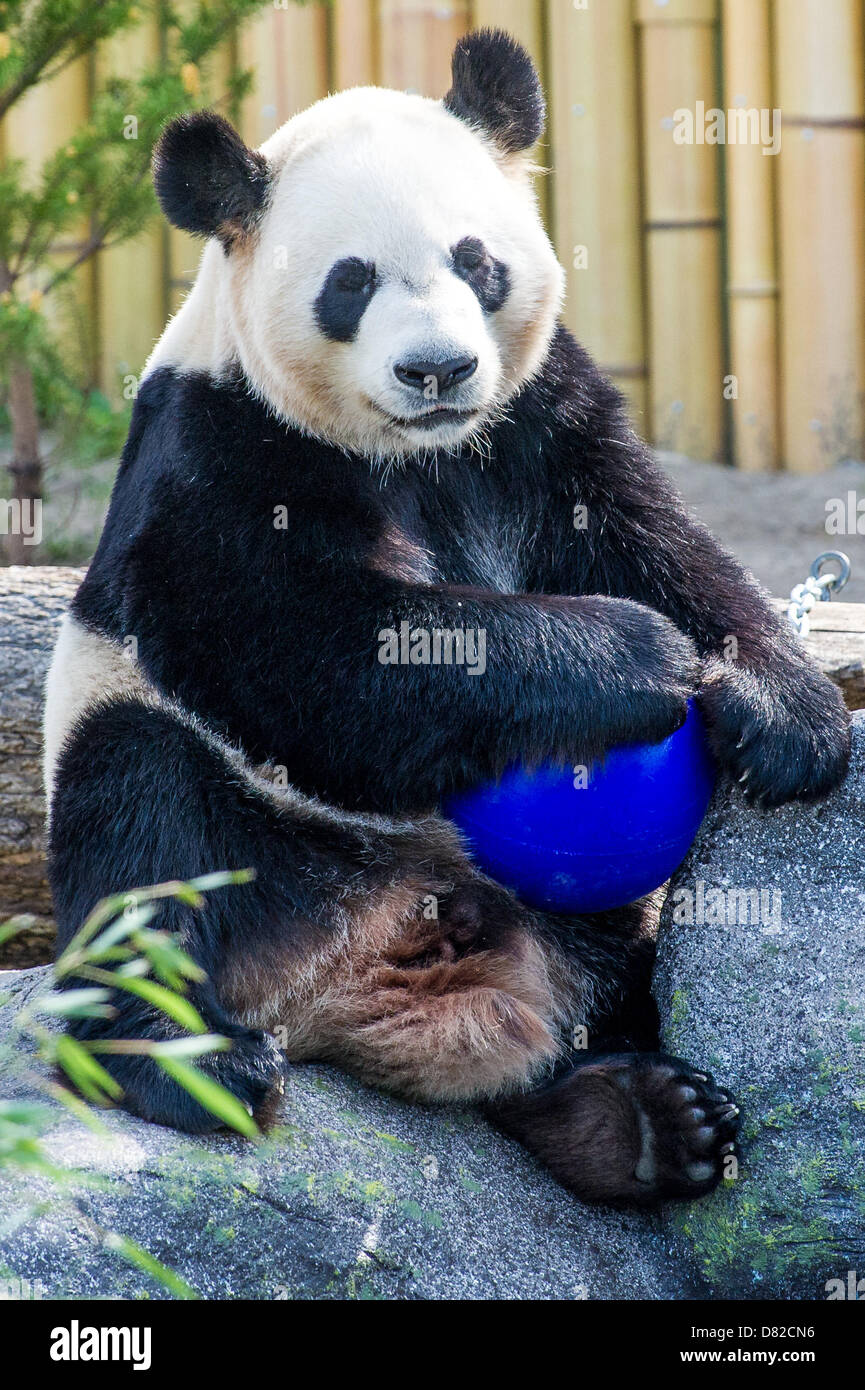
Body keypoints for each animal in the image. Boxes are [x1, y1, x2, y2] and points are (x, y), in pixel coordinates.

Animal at [43, 29, 850, 1205]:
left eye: (475, 261)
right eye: (350, 282)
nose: (439, 368)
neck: (418, 447)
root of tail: (353, 975)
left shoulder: (539, 414)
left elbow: (654, 542)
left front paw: (790, 717)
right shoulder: (219, 439)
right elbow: (302, 639)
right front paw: (635, 658)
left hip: (578, 916)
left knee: (602, 996)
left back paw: (641, 1125)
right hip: (210, 798)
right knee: (137, 826)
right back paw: (192, 1064)